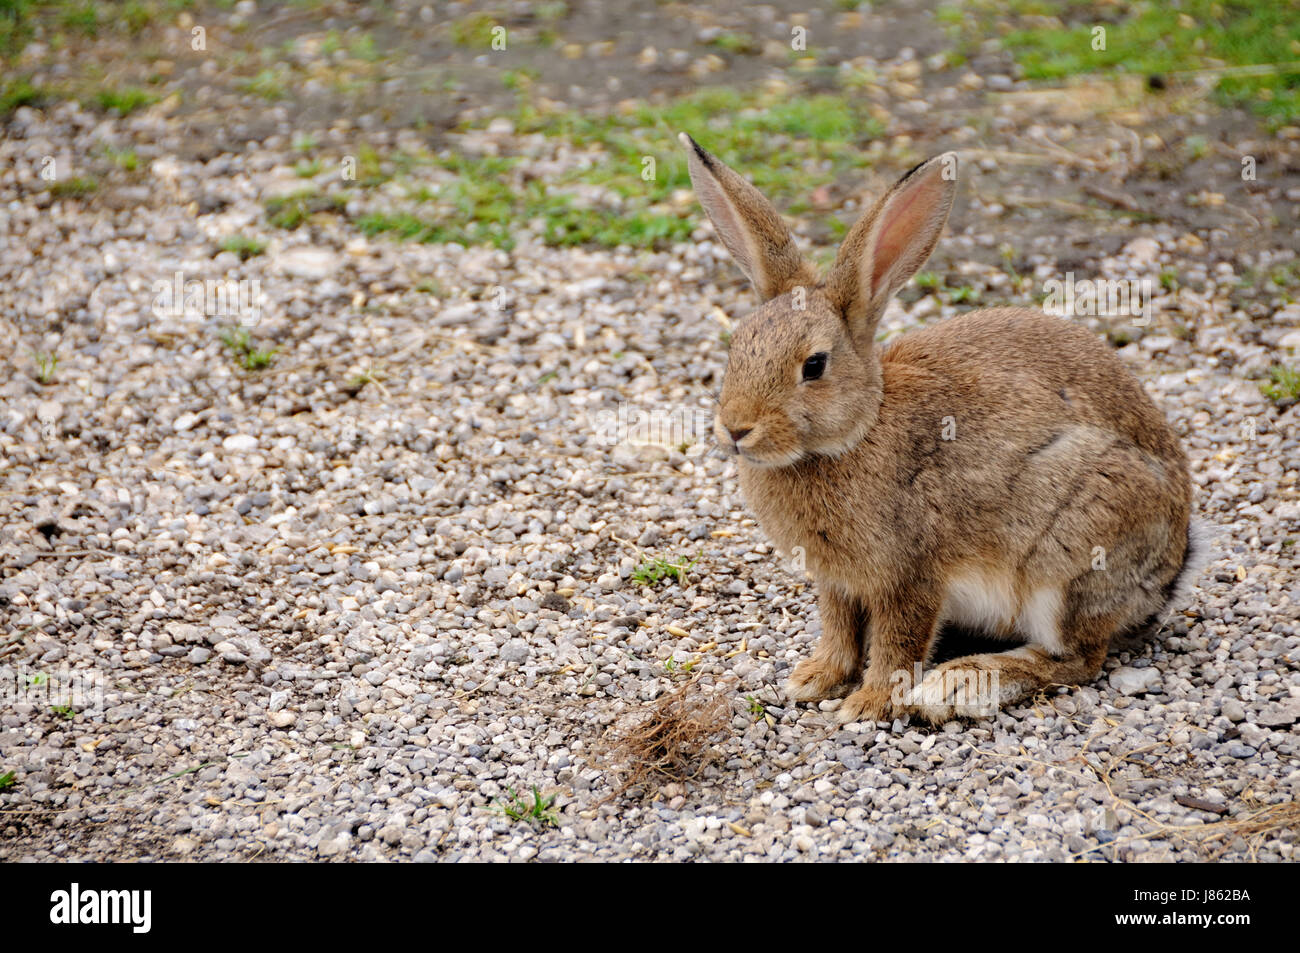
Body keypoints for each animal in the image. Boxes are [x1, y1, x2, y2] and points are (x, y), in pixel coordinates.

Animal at [679, 133, 1202, 724]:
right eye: (735, 347)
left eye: (813, 366)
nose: (735, 429)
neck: (855, 432)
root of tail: (1169, 574)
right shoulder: (837, 583)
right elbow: (838, 631)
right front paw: (813, 679)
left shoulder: (913, 575)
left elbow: (898, 643)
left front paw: (869, 704)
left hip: (1068, 559)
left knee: (1079, 658)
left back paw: (958, 685)